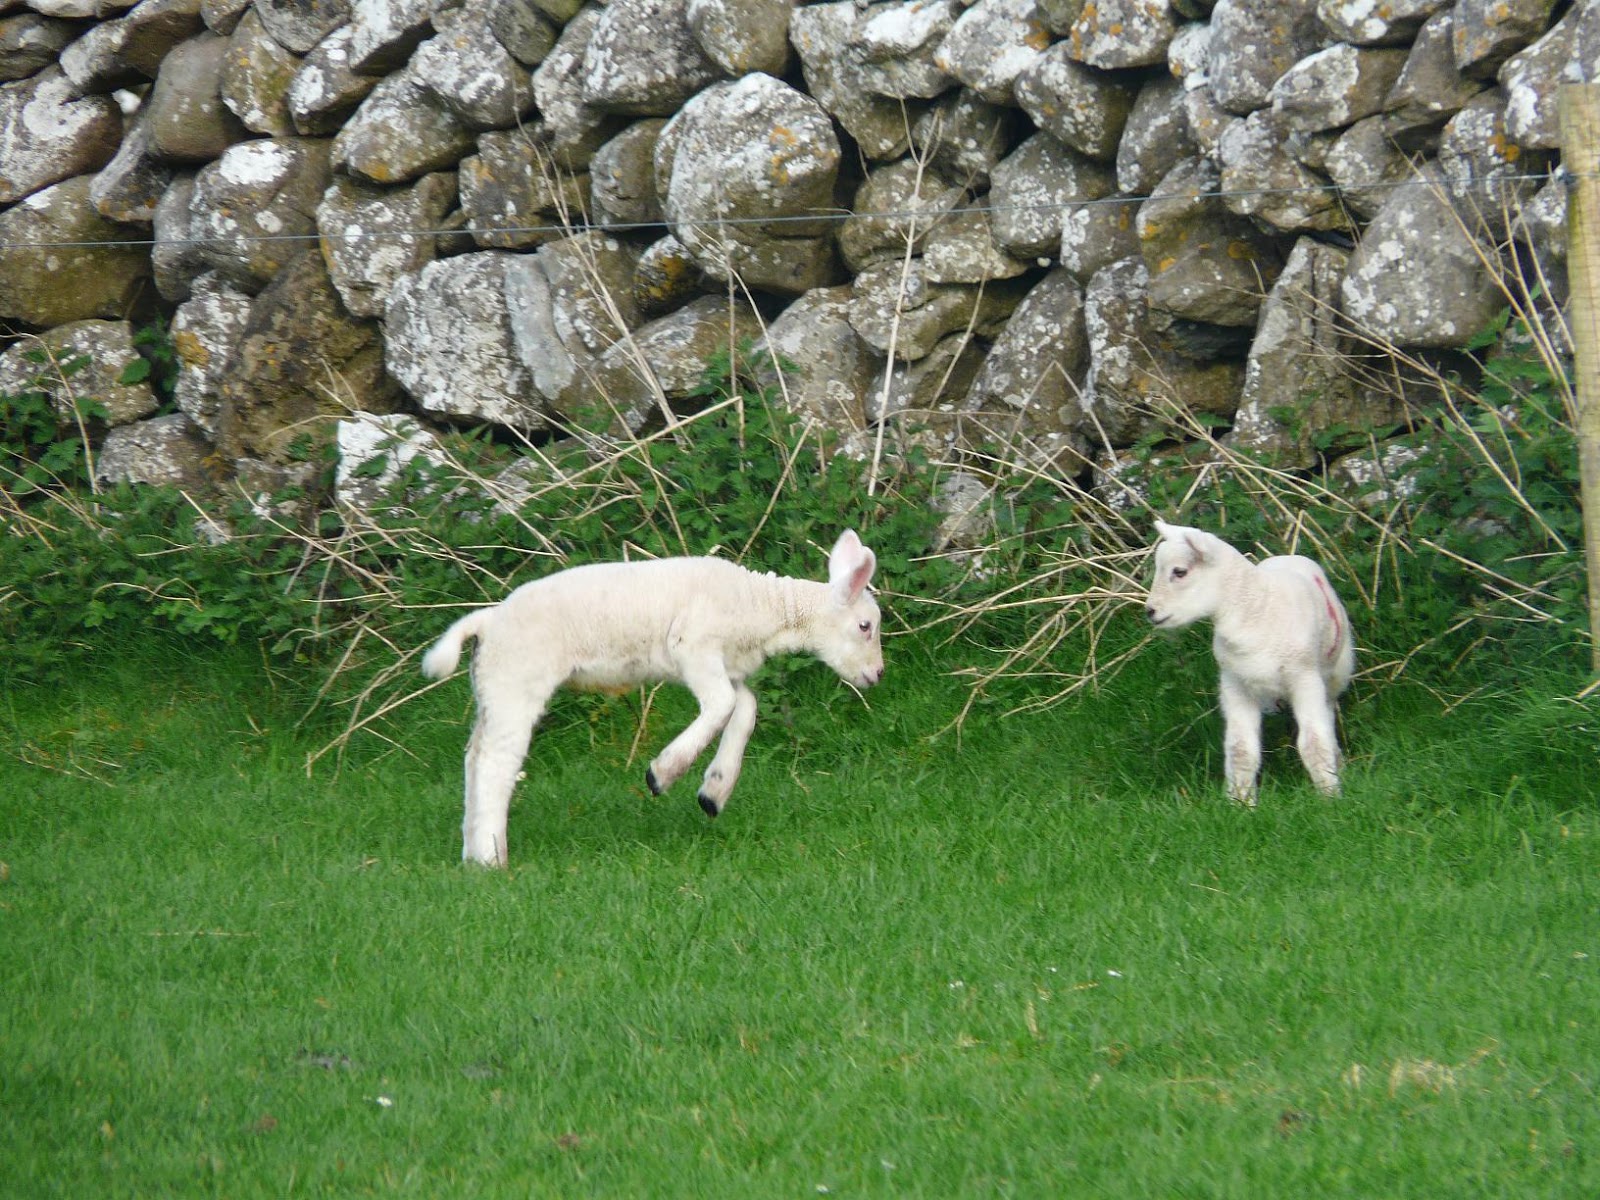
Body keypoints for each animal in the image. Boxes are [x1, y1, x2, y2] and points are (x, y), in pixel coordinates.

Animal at [420, 530, 884, 866]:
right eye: (865, 626)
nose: (877, 674)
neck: (764, 608)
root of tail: (487, 622)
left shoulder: (724, 664)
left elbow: (745, 708)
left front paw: (714, 793)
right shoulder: (693, 645)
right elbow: (722, 705)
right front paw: (662, 774)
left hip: (493, 683)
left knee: (474, 755)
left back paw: (472, 851)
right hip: (519, 678)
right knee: (496, 762)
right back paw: (490, 858)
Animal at [1144, 520, 1355, 805]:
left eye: (1180, 572)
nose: (1149, 611)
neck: (1255, 610)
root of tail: (1287, 556)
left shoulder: (1304, 679)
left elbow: (1313, 743)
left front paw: (1330, 797)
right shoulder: (1235, 684)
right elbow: (1240, 749)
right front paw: (1240, 803)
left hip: (1336, 672)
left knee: (1328, 714)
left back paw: (1338, 764)